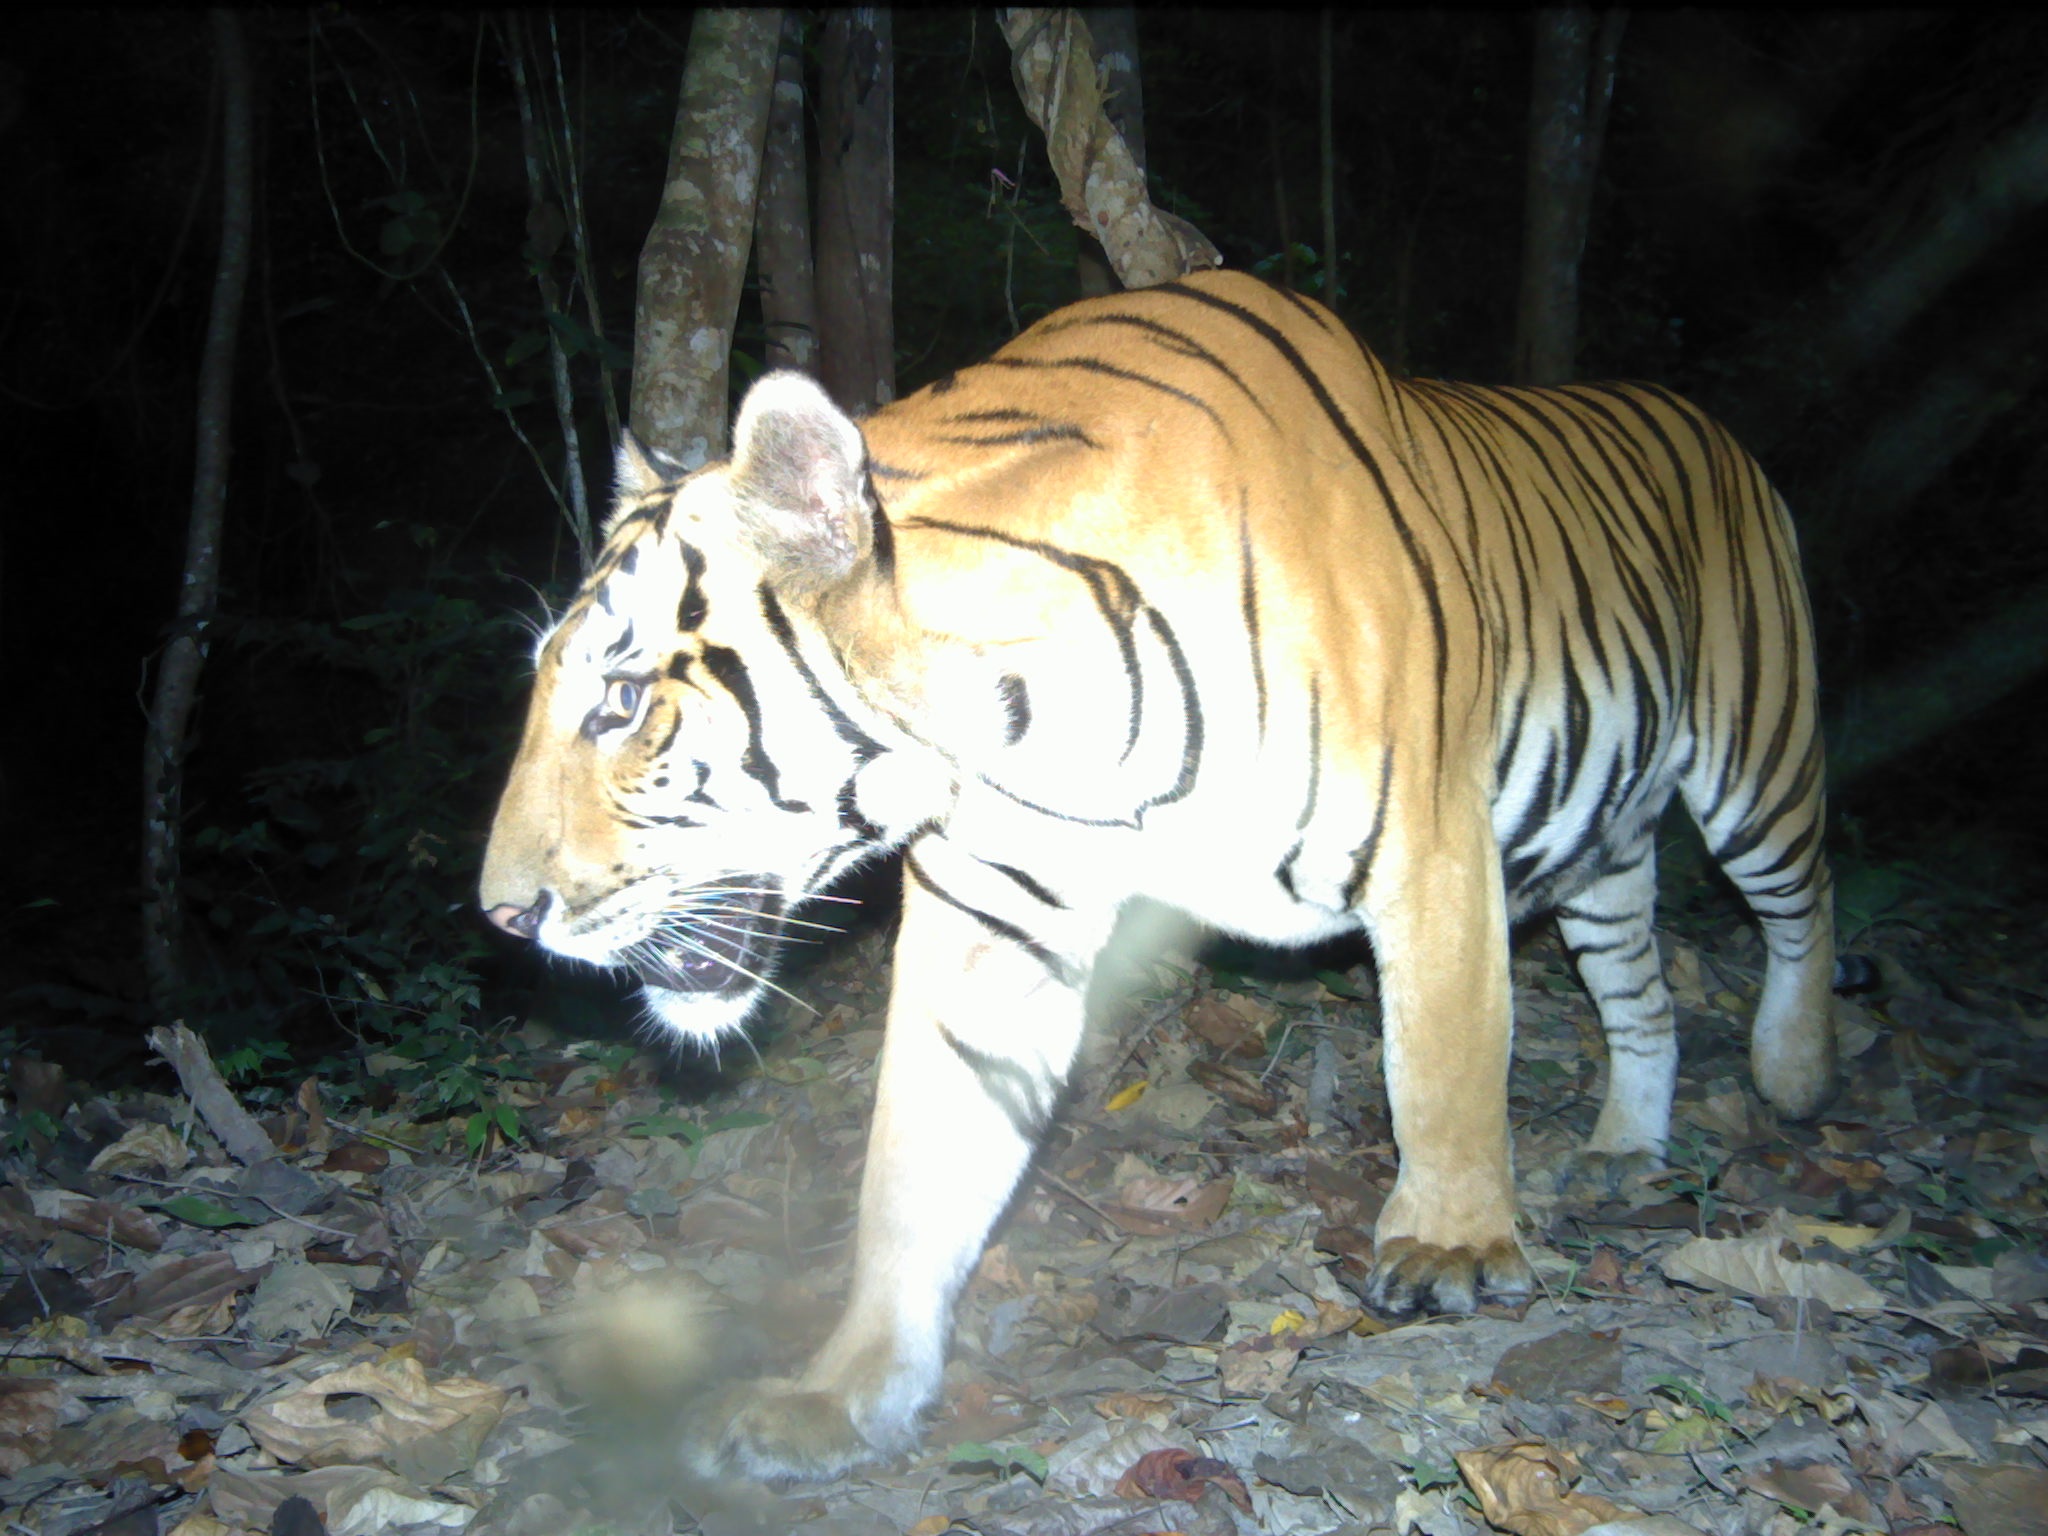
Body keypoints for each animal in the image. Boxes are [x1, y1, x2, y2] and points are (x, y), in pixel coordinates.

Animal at [480, 269, 1835, 1480]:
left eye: (618, 701)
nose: (502, 914)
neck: (1024, 717)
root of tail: (1703, 419)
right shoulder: (993, 927)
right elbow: (913, 1168)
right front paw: (843, 1395)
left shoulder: (1432, 852)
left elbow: (1442, 1068)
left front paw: (1449, 1248)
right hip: (1601, 853)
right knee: (1642, 993)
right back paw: (1624, 1147)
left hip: (1755, 759)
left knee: (1797, 910)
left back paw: (1794, 1069)